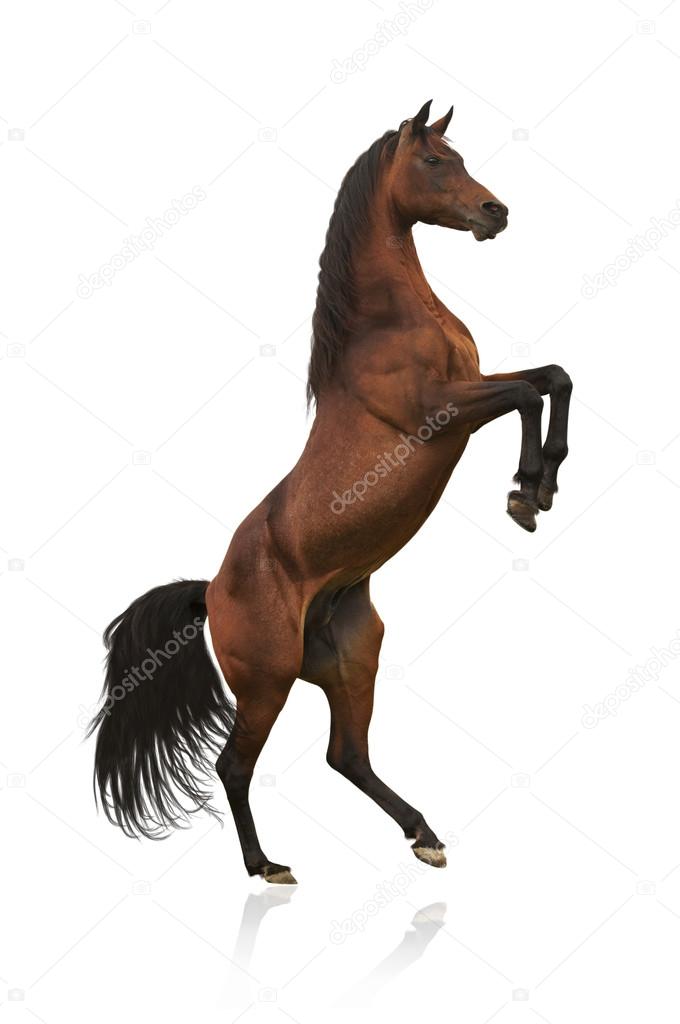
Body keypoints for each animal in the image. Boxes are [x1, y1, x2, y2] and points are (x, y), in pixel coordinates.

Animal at [89, 100, 572, 884]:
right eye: (434, 161)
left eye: (460, 157)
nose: (495, 213)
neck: (388, 322)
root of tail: (210, 590)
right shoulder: (444, 411)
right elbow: (530, 392)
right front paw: (525, 496)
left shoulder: (475, 389)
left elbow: (553, 375)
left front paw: (546, 482)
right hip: (267, 683)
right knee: (234, 767)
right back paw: (268, 867)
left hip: (352, 660)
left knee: (346, 756)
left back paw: (425, 837)